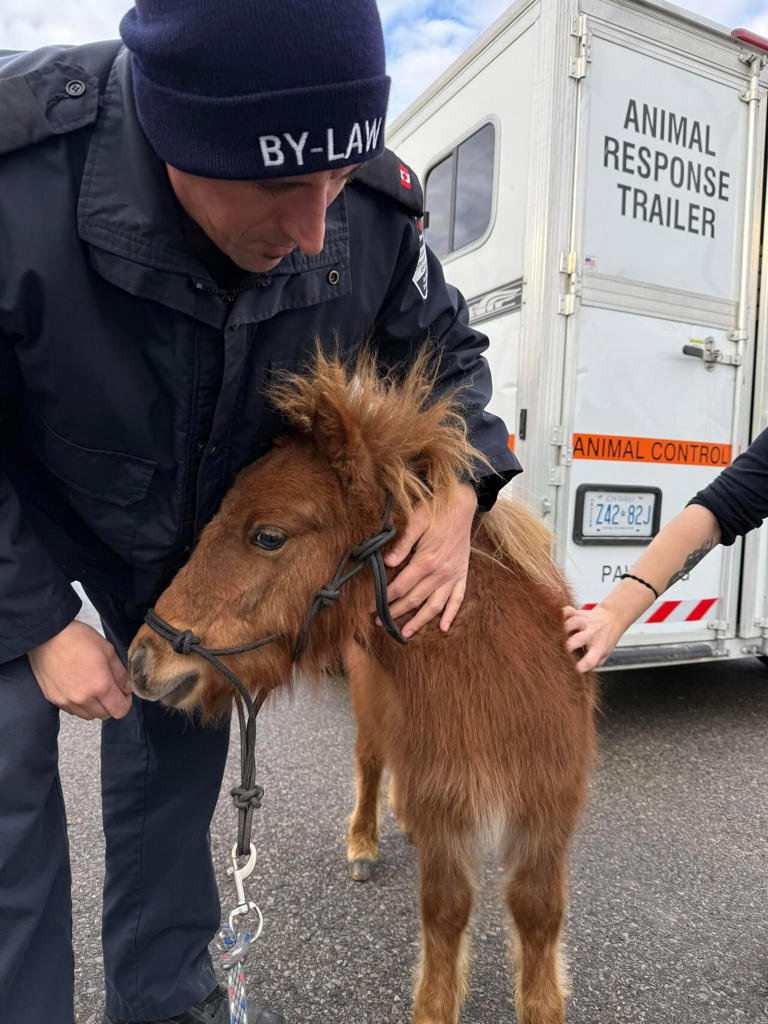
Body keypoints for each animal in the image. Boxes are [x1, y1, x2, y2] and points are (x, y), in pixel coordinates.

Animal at [128, 348, 597, 1024]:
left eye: (268, 535)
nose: (142, 661)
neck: (498, 690)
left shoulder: (545, 818)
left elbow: (538, 918)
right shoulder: (449, 816)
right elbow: (445, 912)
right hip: (371, 715)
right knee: (371, 764)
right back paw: (364, 842)